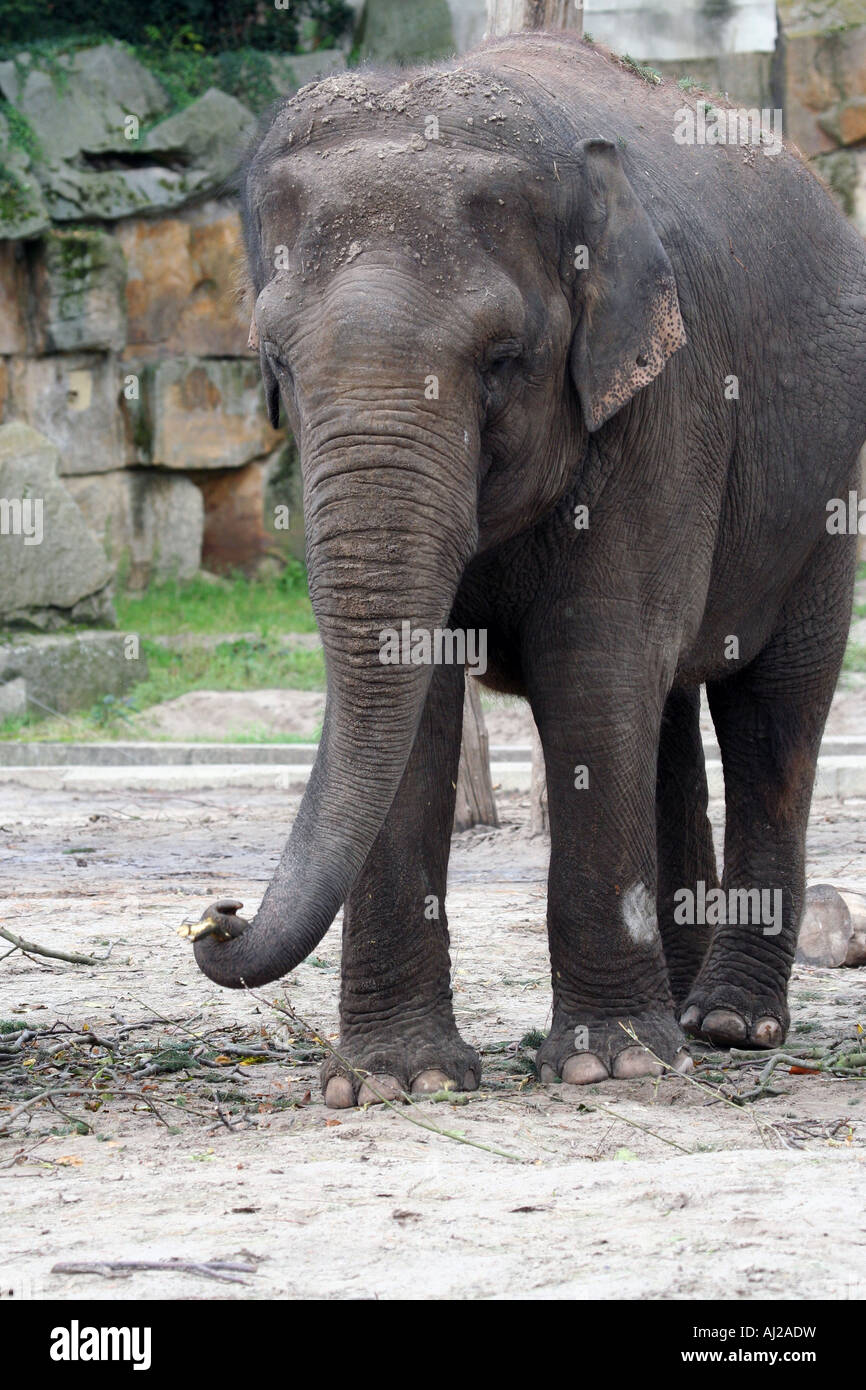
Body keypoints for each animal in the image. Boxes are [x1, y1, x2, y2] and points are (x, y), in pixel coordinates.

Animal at [185, 32, 866, 1106]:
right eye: (276, 362)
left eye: (503, 358)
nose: (215, 915)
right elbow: (422, 697)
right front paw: (394, 1083)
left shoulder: (662, 402)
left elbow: (592, 668)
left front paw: (605, 1066)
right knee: (667, 709)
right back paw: (681, 1012)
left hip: (824, 491)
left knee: (771, 708)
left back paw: (725, 1025)